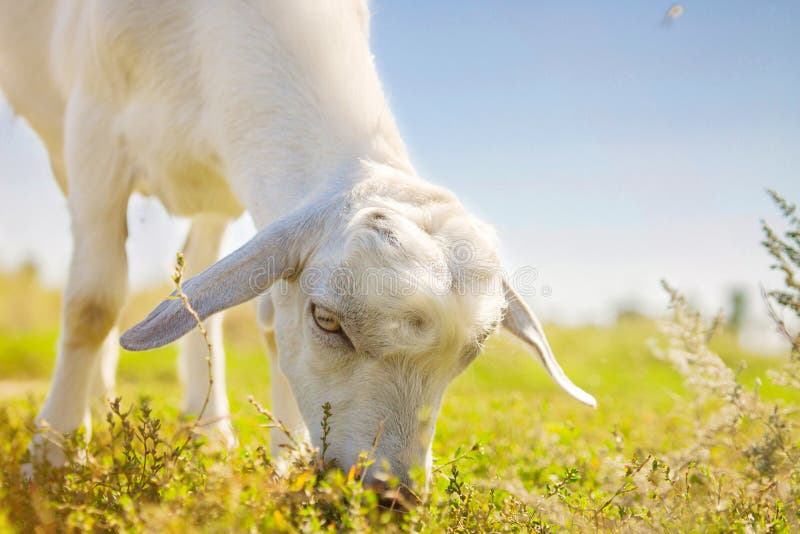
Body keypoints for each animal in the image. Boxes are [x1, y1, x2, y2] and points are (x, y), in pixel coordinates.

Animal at [0, 0, 595, 489]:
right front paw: (53, 452)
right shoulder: (93, 135)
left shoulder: (236, 186)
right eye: (326, 320)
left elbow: (253, 318)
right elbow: (91, 304)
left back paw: (208, 433)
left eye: (470, 354)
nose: (391, 494)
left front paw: (282, 456)